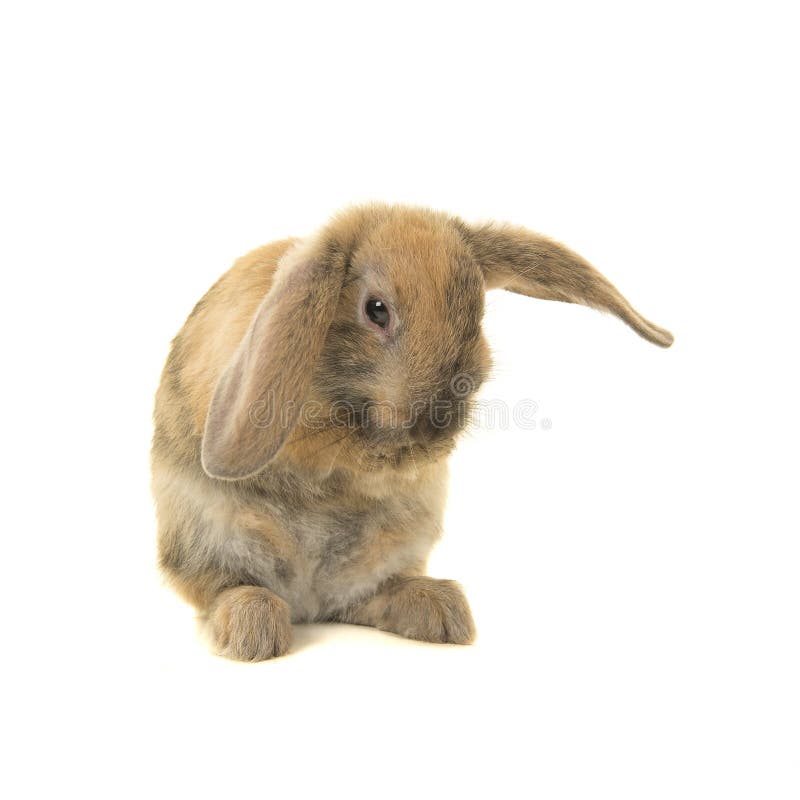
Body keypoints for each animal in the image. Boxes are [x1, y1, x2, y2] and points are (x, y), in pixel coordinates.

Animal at [151, 203, 673, 661]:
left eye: (476, 314)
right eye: (376, 309)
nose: (436, 420)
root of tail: (308, 604)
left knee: (363, 598)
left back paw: (438, 609)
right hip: (210, 542)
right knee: (230, 589)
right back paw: (253, 630)